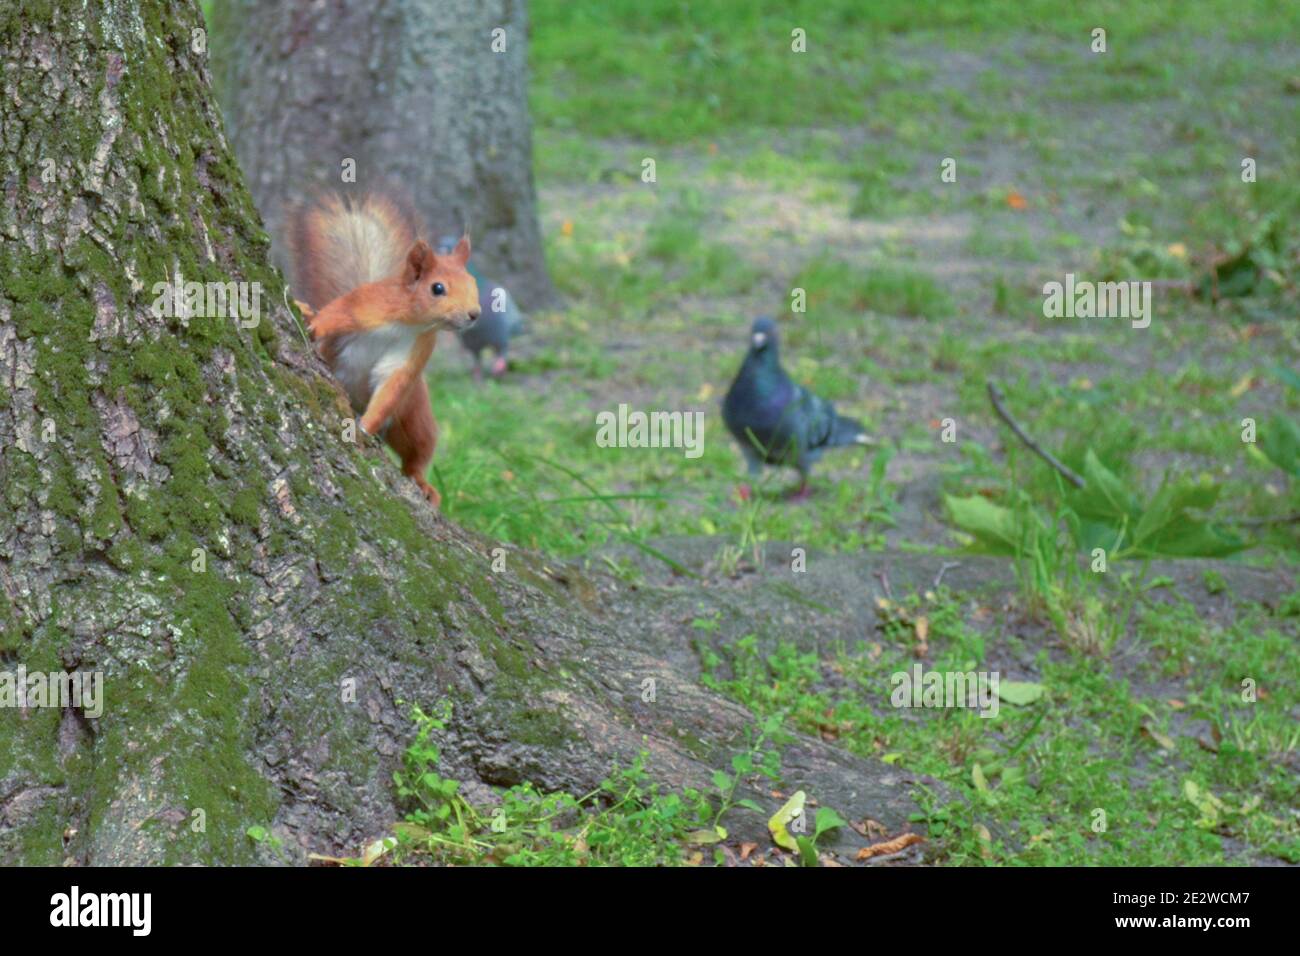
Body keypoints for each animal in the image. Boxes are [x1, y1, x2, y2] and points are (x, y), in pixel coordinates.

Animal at [288, 192, 481, 508]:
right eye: (437, 288)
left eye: (473, 283)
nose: (475, 314)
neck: (409, 323)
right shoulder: (365, 305)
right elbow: (333, 315)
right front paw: (310, 320)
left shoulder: (414, 351)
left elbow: (391, 385)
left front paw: (363, 427)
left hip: (413, 412)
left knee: (417, 451)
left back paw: (422, 484)